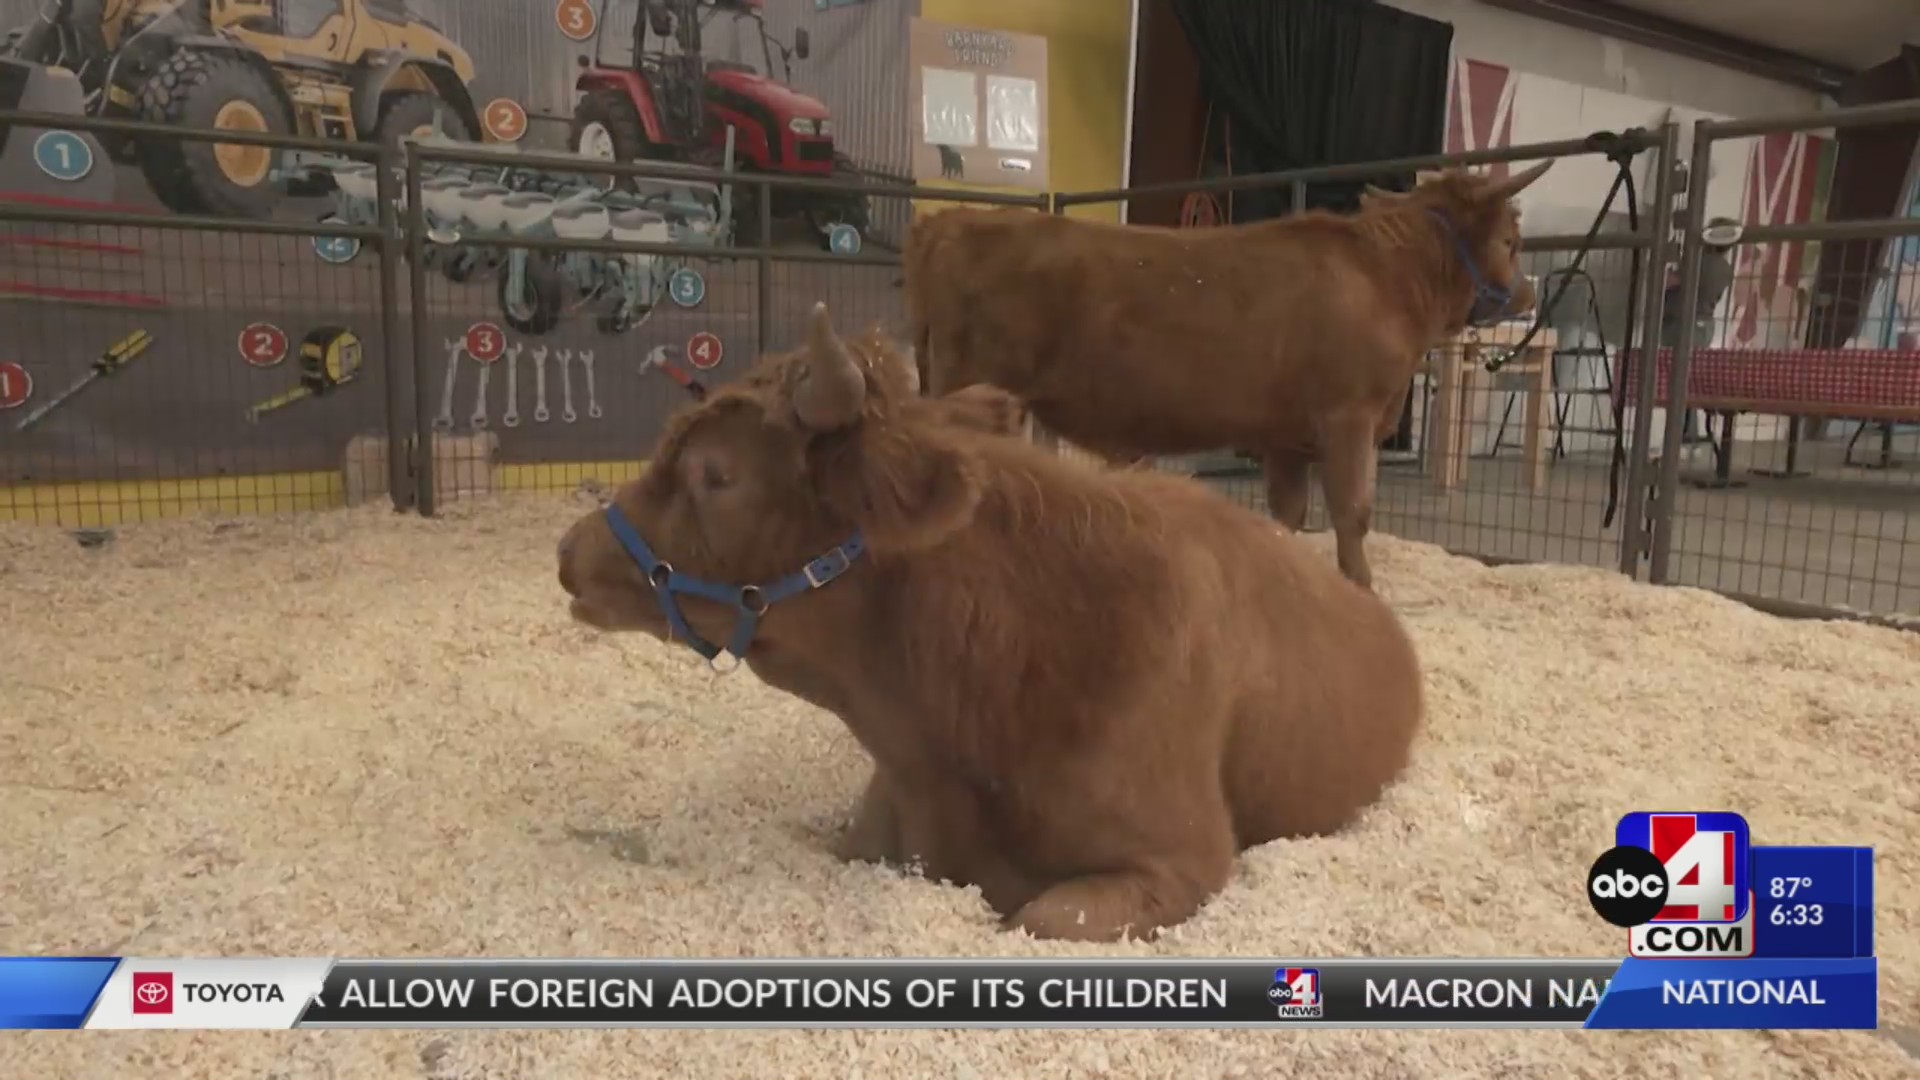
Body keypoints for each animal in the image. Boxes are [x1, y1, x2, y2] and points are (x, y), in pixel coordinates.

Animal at [905, 162, 1555, 590]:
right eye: (1510, 240)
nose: (1528, 296)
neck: (1386, 279)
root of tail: (950, 221)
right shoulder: (1350, 418)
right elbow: (1352, 513)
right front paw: (1361, 588)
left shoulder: (1287, 437)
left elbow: (1288, 515)